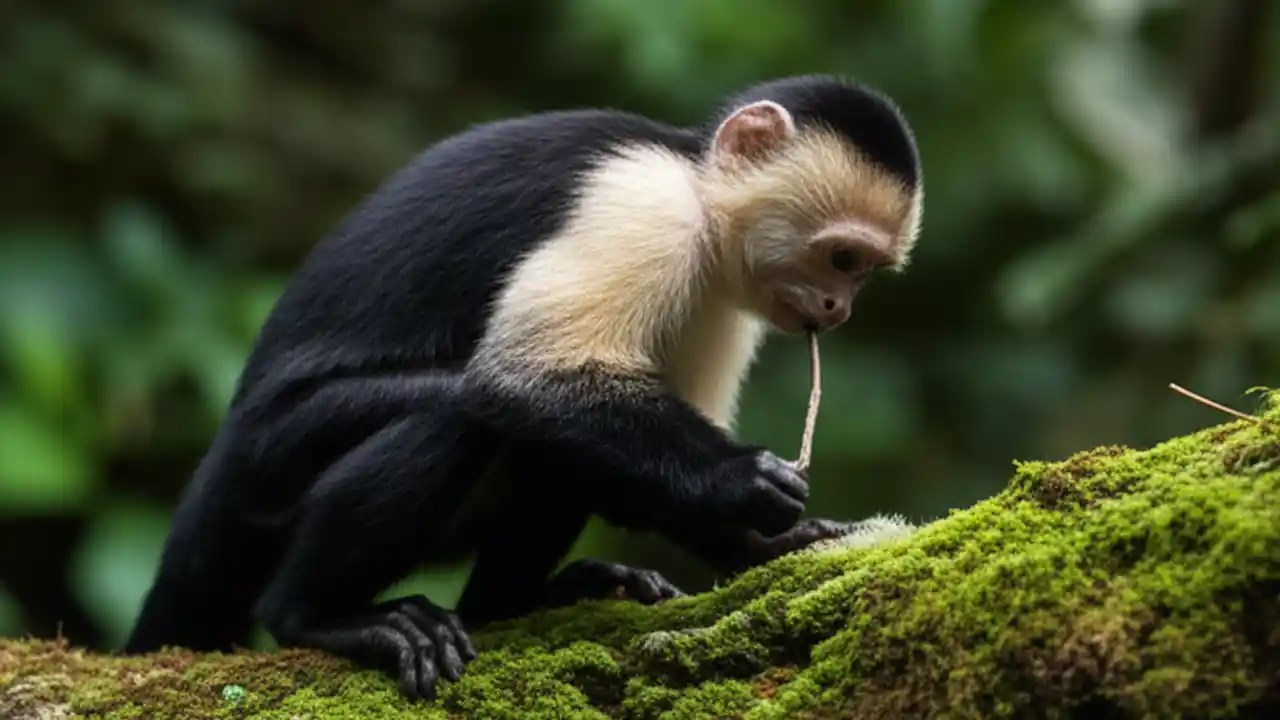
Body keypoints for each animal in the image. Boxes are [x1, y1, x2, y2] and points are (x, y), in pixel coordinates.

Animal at [123, 75, 923, 700]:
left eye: (864, 272)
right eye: (841, 258)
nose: (837, 310)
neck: (697, 186)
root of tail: (218, 468)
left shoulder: (719, 293)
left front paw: (767, 539)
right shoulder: (643, 207)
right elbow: (526, 379)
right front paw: (744, 479)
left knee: (560, 454)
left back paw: (513, 604)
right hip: (270, 462)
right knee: (463, 413)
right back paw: (320, 616)